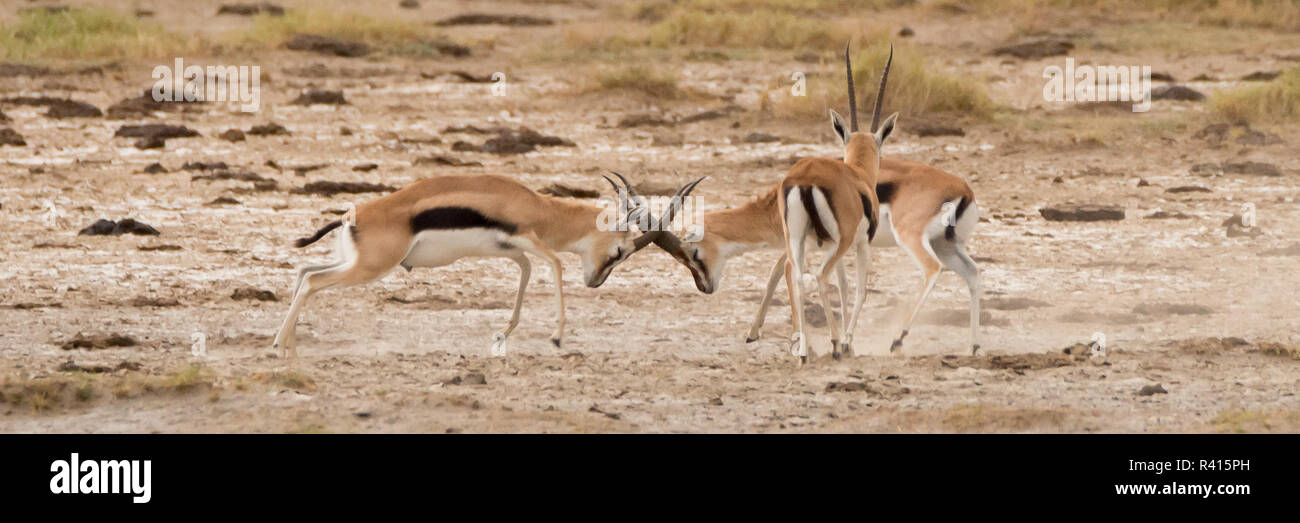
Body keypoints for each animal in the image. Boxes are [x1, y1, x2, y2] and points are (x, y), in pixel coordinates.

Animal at [273, 173, 700, 359]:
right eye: (620, 251)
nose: (595, 281)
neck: (539, 207)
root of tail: (352, 216)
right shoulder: (528, 240)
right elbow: (555, 265)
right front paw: (557, 337)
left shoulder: (513, 251)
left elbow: (527, 275)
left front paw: (502, 335)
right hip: (370, 268)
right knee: (312, 282)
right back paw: (281, 344)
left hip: (352, 261)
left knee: (304, 271)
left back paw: (287, 340)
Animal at [654, 44, 982, 356]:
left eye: (693, 254)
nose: (705, 287)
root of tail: (963, 189)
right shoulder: (818, 245)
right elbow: (826, 282)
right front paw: (763, 334)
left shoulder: (825, 243)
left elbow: (798, 277)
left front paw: (818, 341)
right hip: (945, 244)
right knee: (973, 272)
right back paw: (972, 346)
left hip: (910, 240)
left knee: (930, 269)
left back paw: (891, 340)